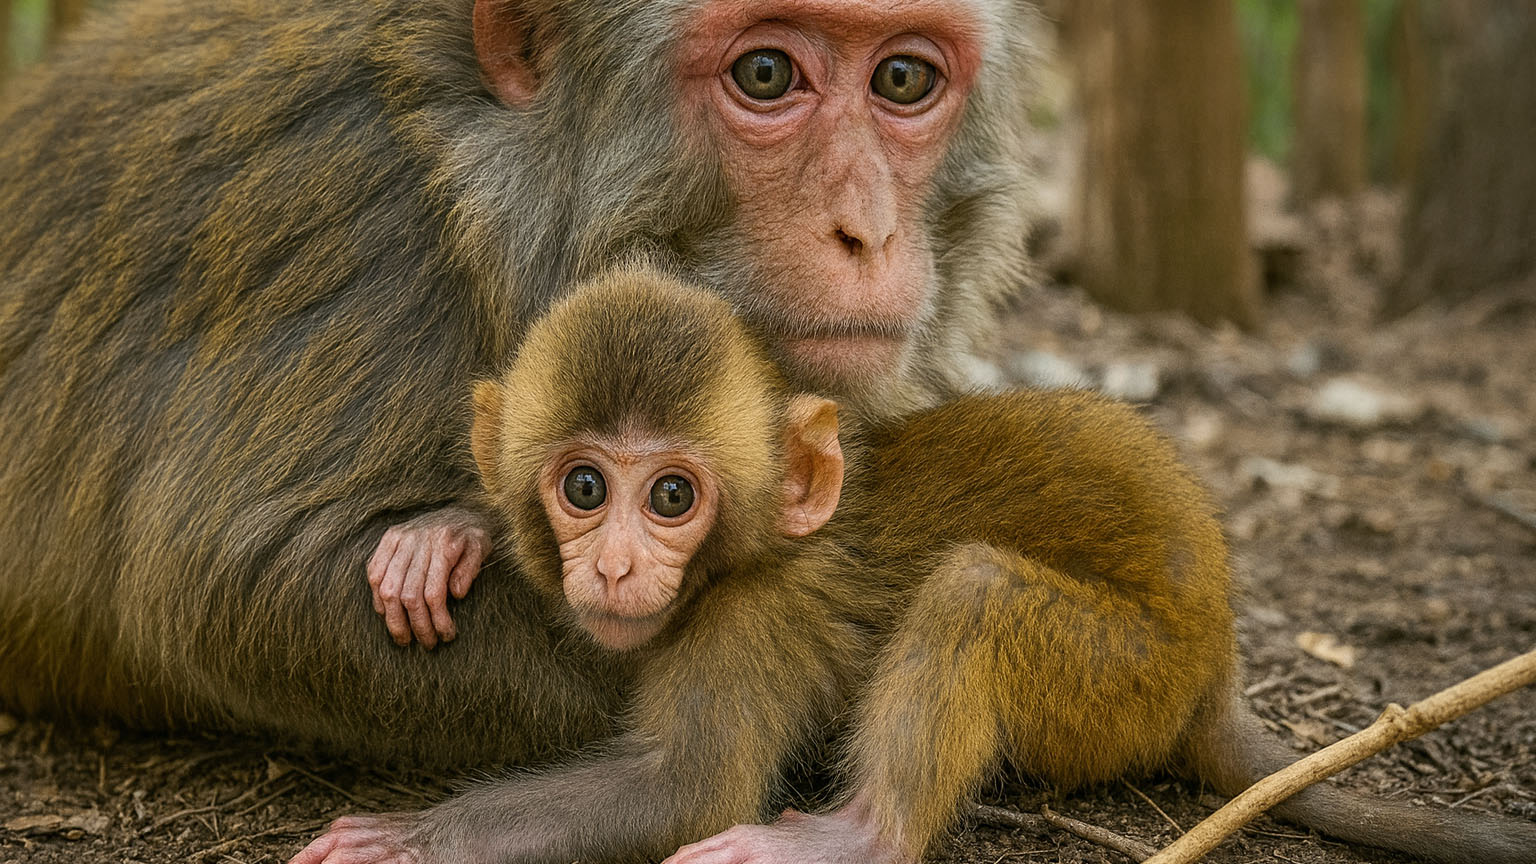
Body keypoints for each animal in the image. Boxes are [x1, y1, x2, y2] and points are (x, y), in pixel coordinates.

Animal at [319, 263, 1536, 864]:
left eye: (669, 497)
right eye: (583, 489)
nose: (613, 568)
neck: (756, 546)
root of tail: (1215, 667)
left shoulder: (760, 614)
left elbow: (686, 789)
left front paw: (412, 842)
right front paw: (449, 533)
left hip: (1124, 684)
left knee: (977, 591)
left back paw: (862, 838)